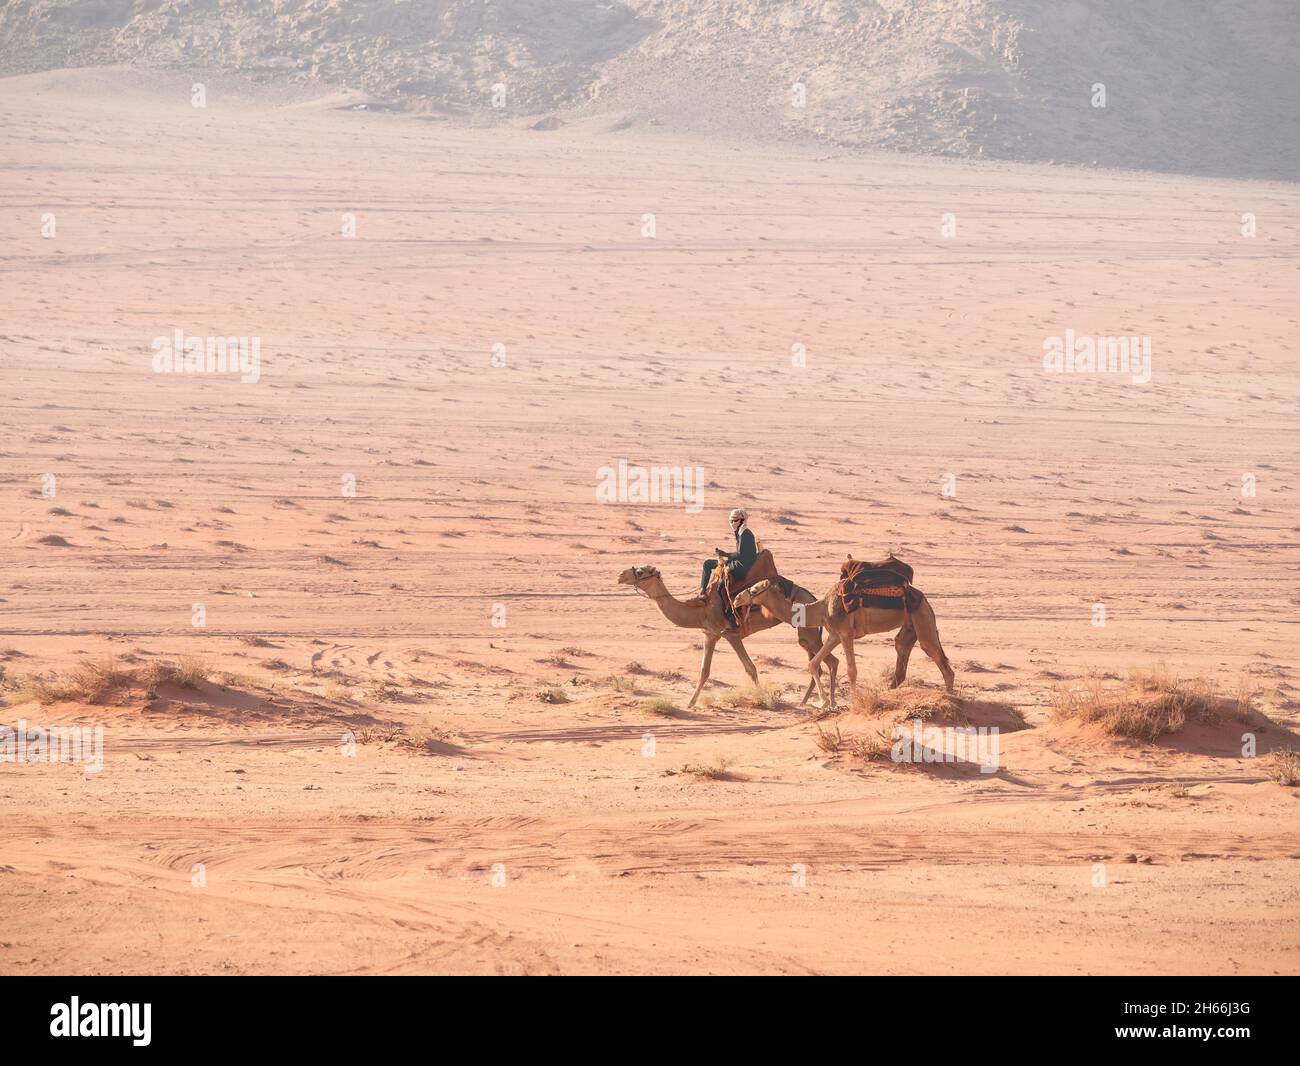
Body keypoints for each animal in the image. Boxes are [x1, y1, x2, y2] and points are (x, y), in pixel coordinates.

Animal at [616, 565, 838, 708]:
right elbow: (704, 671)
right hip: (806, 633)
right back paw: (809, 701)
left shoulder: (731, 634)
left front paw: (763, 699)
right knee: (821, 661)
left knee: (830, 661)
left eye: (640, 572)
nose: (620, 576)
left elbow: (750, 668)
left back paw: (826, 701)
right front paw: (691, 702)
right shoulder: (710, 635)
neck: (700, 610)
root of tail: (812, 597)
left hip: (808, 632)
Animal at [731, 577, 954, 708]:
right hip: (910, 626)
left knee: (940, 661)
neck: (820, 608)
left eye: (754, 590)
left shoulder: (846, 633)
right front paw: (823, 702)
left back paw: (950, 701)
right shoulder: (834, 635)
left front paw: (851, 702)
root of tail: (925, 600)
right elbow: (814, 663)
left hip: (922, 620)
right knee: (902, 653)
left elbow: (851, 670)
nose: (736, 599)